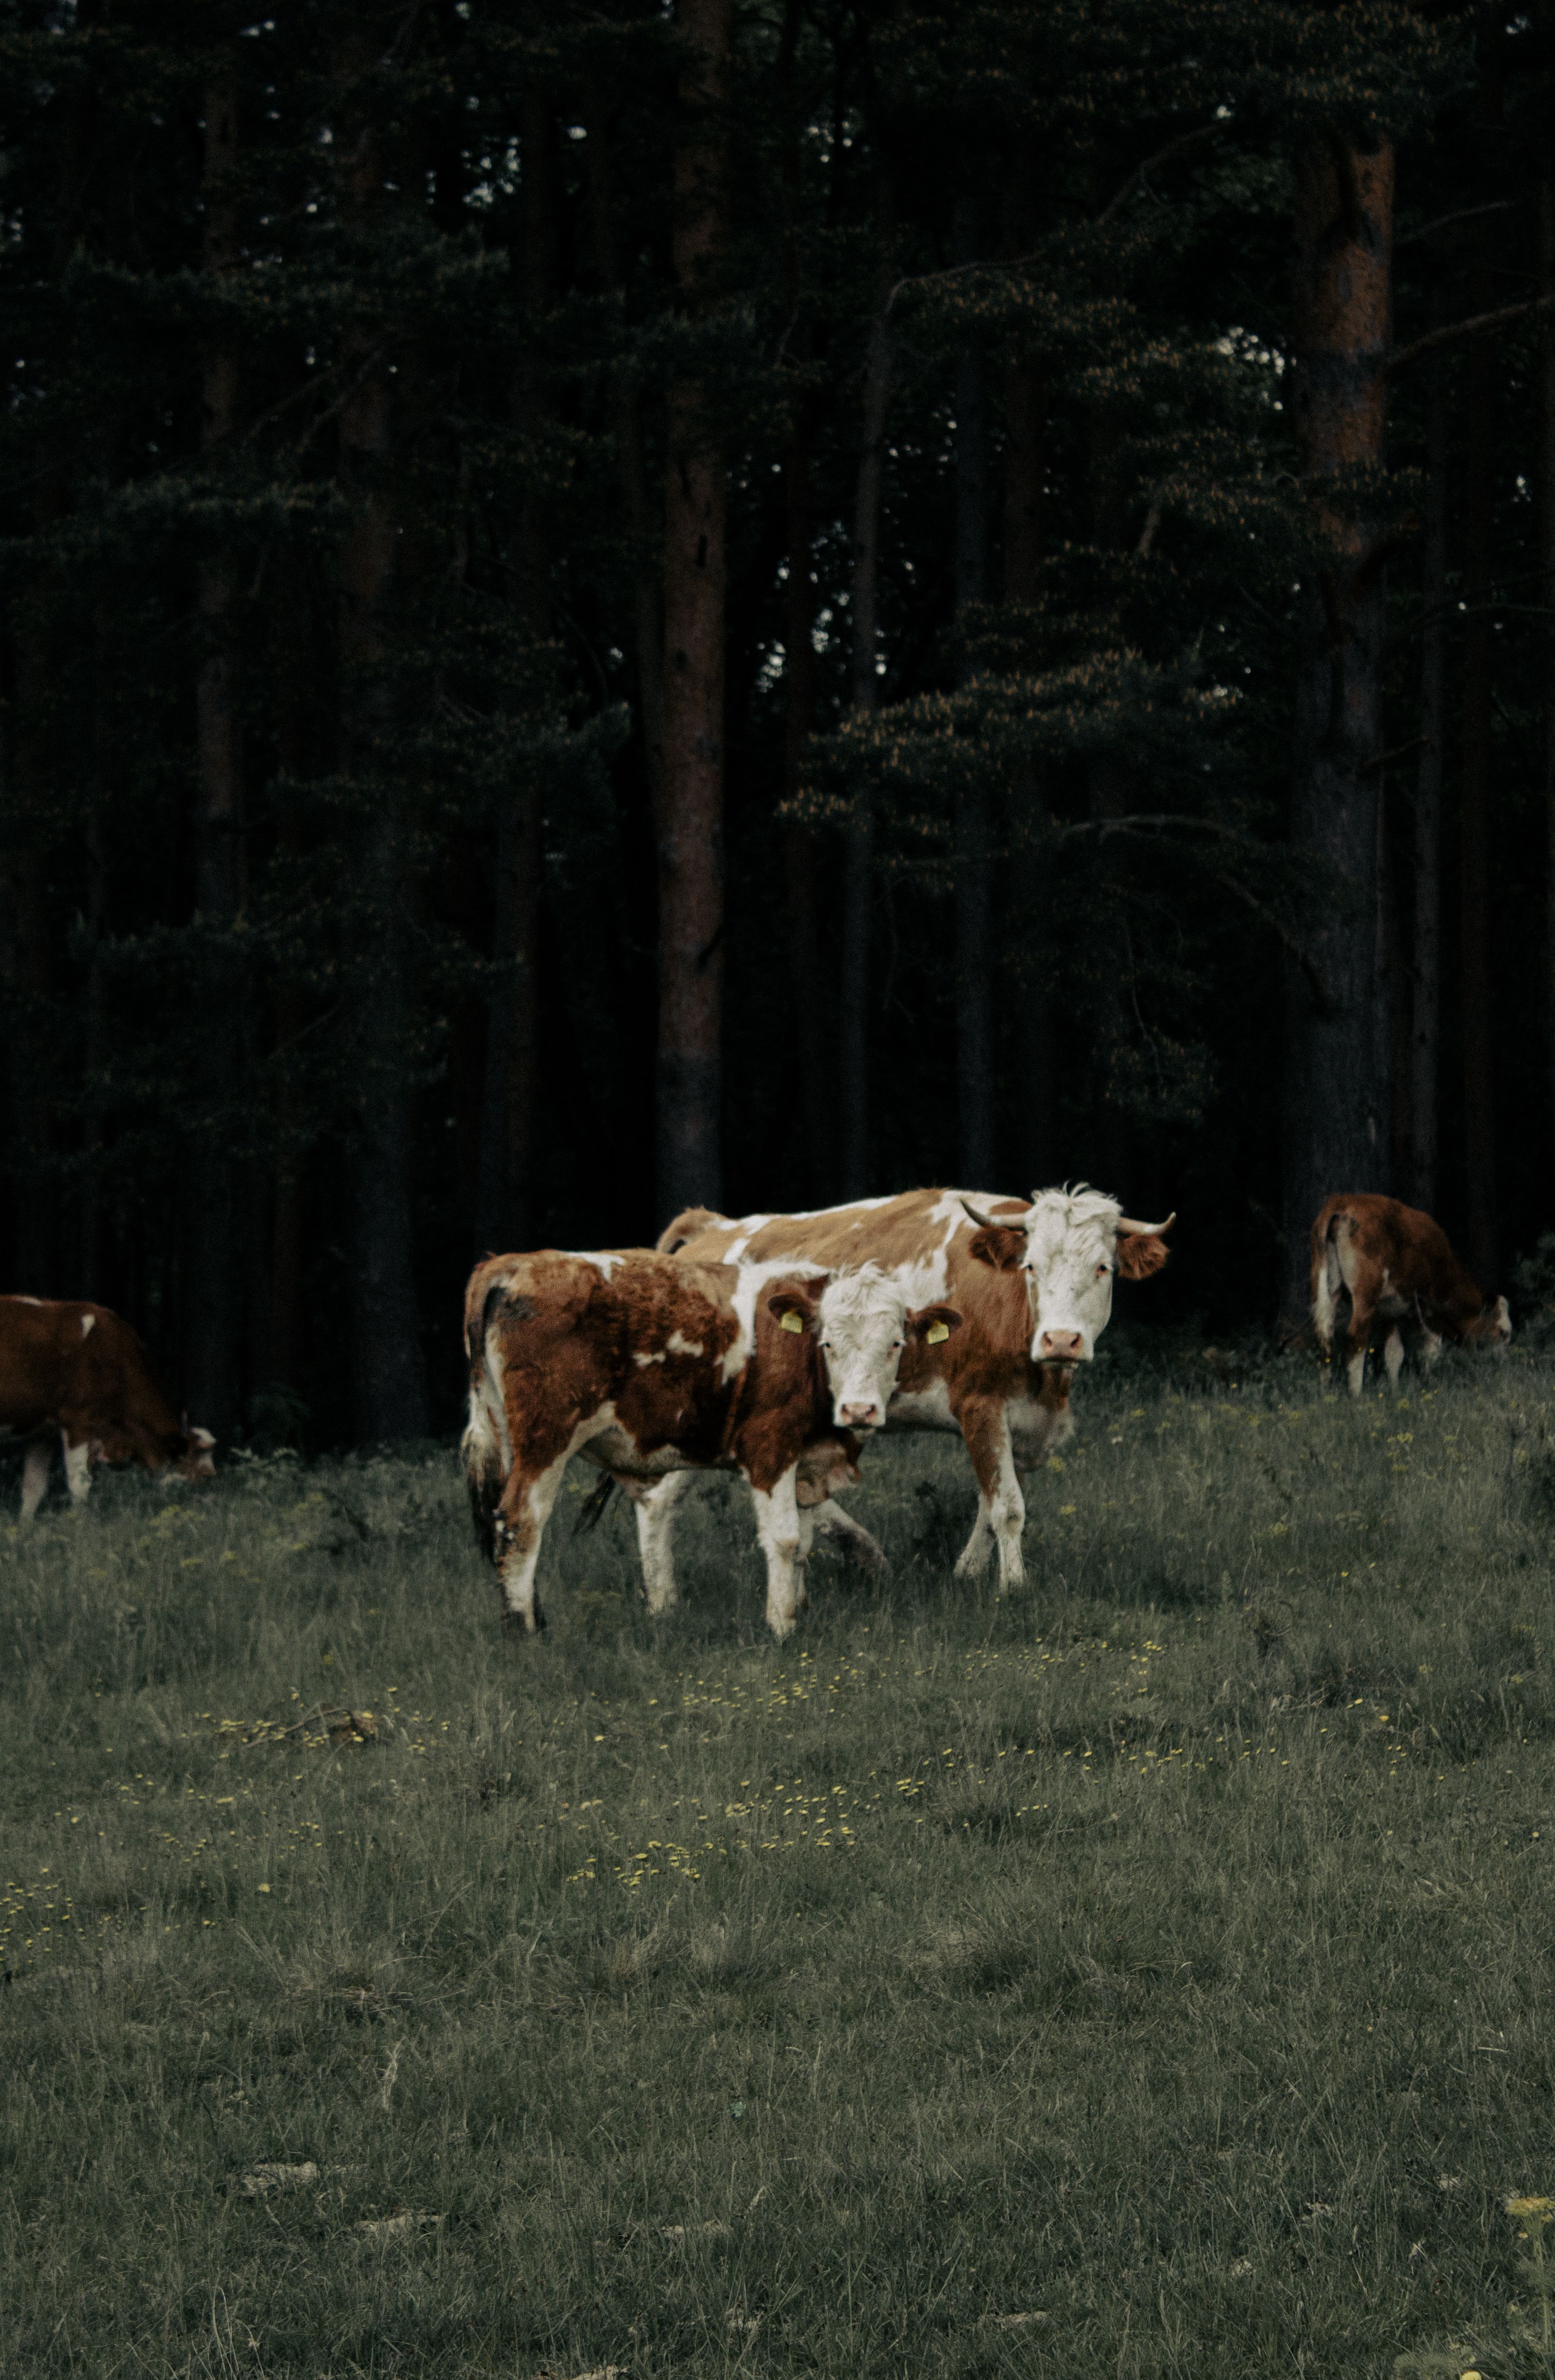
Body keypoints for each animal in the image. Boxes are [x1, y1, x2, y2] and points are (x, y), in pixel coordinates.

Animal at [0, 1295, 217, 1520]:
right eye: (205, 1475)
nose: (211, 1506)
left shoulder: (42, 1432)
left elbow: (34, 1489)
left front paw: (25, 1526)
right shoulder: (80, 1423)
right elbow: (79, 1485)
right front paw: (80, 1523)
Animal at [461, 1249, 961, 1639]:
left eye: (895, 1343)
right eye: (828, 1345)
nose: (860, 1410)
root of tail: (511, 1265)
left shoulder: (806, 1462)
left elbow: (803, 1543)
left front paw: (798, 1609)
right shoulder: (769, 1448)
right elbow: (784, 1538)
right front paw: (782, 1626)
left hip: (504, 1434)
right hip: (546, 1441)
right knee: (520, 1523)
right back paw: (525, 1632)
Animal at [658, 1186, 1173, 1590]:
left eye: (1104, 1268)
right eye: (1032, 1267)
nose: (1062, 1340)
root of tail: (713, 1228)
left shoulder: (1026, 1425)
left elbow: (990, 1505)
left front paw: (967, 1573)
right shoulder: (980, 1405)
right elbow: (1007, 1508)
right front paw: (1013, 1587)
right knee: (665, 1499)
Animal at [1310, 1194, 1512, 1396]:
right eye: (1503, 1333)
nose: (1501, 1366)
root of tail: (1342, 1201)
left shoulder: (1390, 1310)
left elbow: (1394, 1354)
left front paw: (1395, 1390)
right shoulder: (1429, 1309)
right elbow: (1431, 1350)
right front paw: (1431, 1383)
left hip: (1323, 1288)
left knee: (1324, 1339)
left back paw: (1325, 1393)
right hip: (1365, 1295)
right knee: (1355, 1340)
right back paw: (1356, 1395)